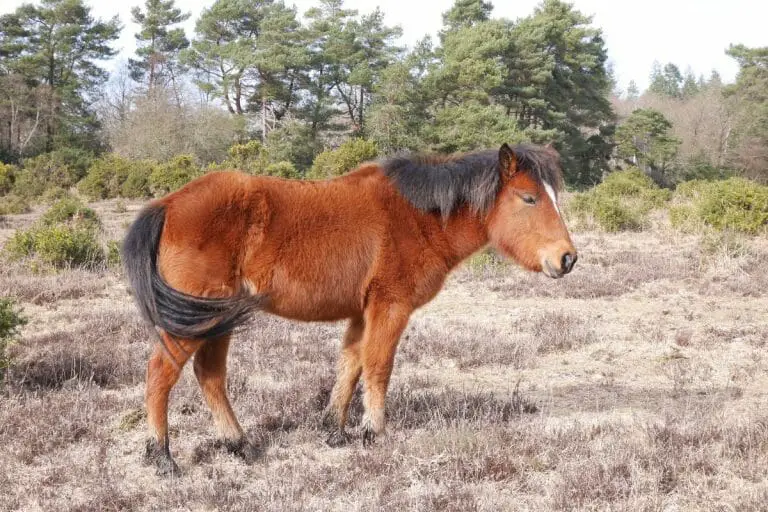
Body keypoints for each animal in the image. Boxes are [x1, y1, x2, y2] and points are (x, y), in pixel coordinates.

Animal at [122, 143, 577, 475]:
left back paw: (240, 444)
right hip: (198, 319)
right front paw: (374, 431)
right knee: (161, 374)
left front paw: (334, 430)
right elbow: (378, 366)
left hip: (215, 320)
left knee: (210, 376)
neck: (417, 217)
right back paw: (162, 455)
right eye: (529, 198)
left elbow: (350, 364)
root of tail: (168, 205)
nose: (567, 259)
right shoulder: (390, 307)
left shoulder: (362, 312)